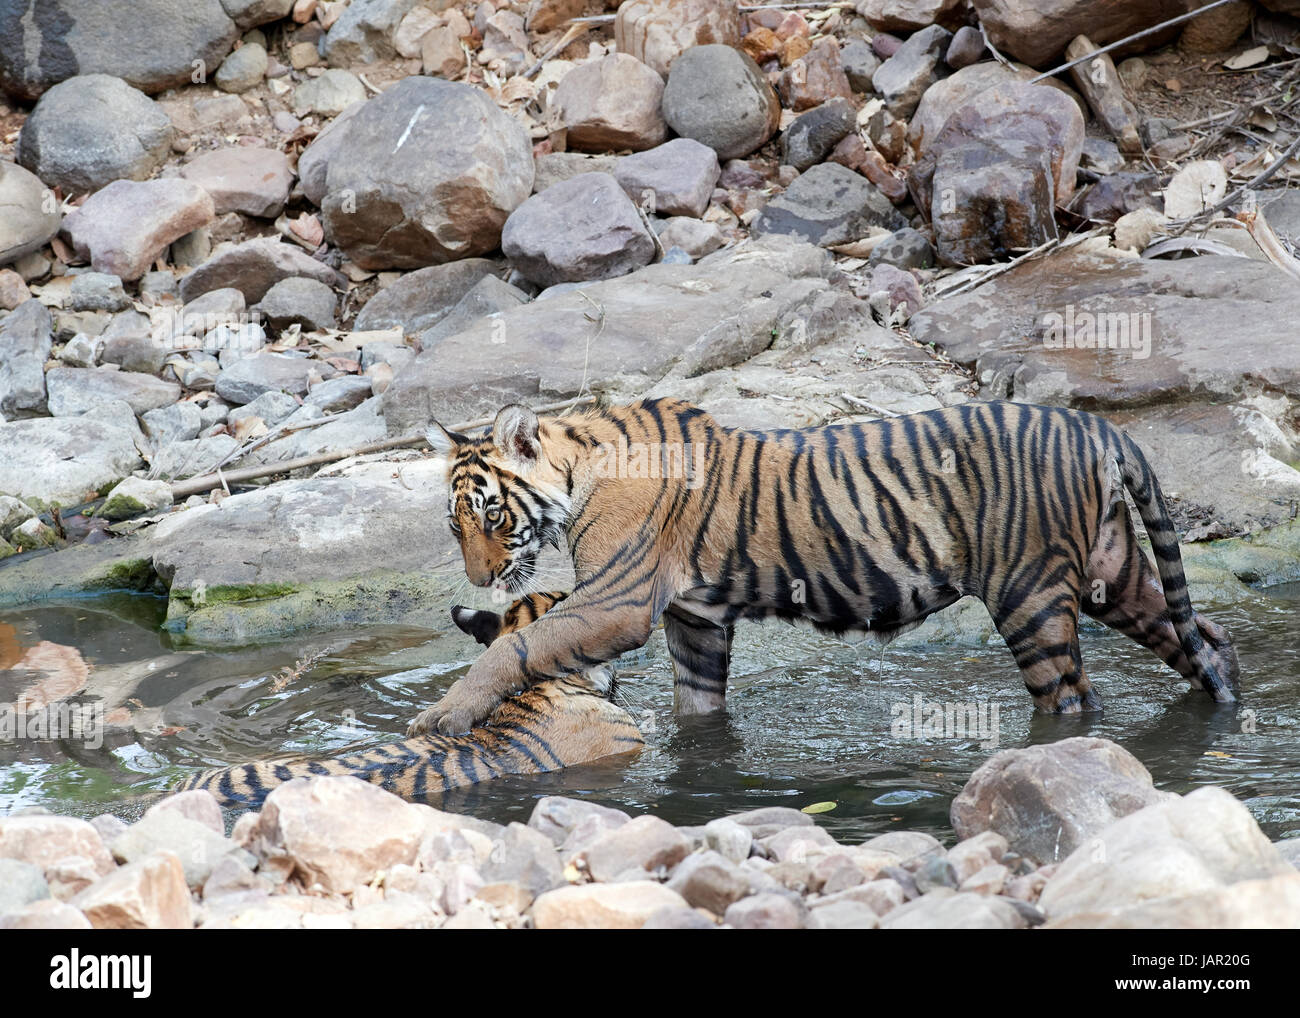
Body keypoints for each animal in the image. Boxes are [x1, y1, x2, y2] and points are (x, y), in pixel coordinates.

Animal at [409, 397, 1240, 737]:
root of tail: (1097, 426)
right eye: (454, 526)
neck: (579, 466)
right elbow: (698, 708)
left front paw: (444, 714)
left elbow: (518, 645)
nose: (479, 580)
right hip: (1112, 571)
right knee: (1206, 638)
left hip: (1030, 594)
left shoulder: (617, 600)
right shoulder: (695, 620)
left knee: (1070, 698)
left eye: (491, 516)